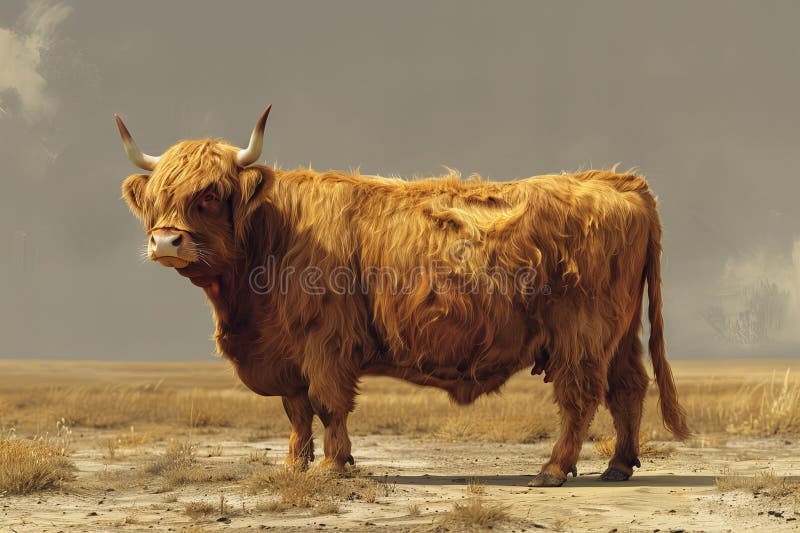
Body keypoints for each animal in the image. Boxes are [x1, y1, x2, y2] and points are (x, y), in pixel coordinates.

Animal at [115, 105, 689, 487]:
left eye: (210, 195)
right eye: (158, 197)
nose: (165, 241)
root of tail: (617, 180)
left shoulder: (325, 343)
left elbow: (328, 405)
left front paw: (334, 466)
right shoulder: (285, 352)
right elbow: (296, 411)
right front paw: (295, 464)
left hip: (581, 333)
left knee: (581, 396)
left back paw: (553, 469)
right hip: (619, 333)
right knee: (627, 388)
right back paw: (617, 465)